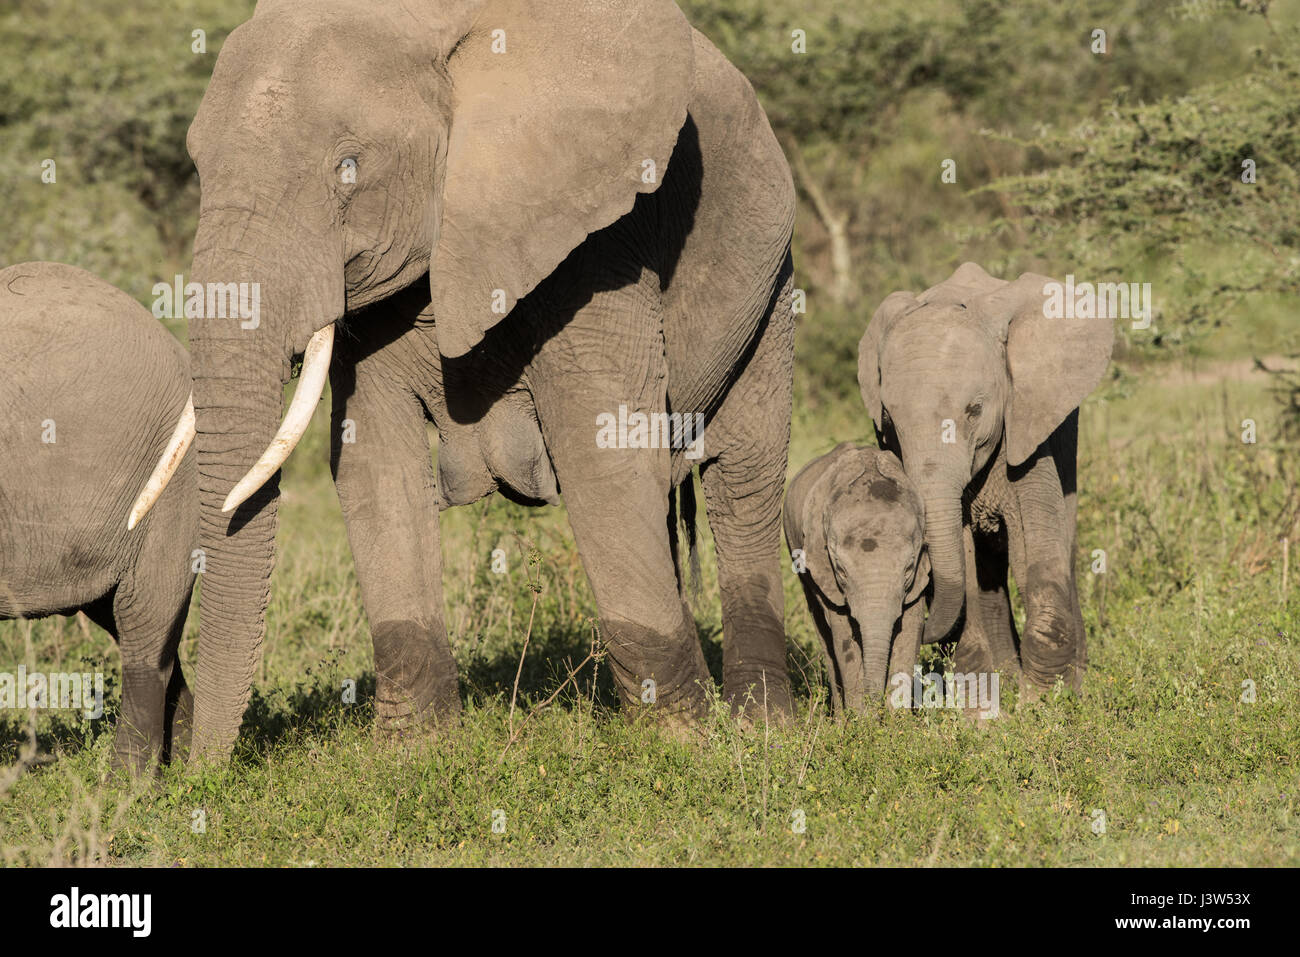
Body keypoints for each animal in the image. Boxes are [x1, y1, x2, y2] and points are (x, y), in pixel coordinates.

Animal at [131, 0, 798, 760]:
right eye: (198, 167)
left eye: (349, 168)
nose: (195, 770)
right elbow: (373, 465)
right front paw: (412, 753)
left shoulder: (596, 237)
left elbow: (603, 455)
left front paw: (681, 747)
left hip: (770, 277)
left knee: (743, 479)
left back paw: (762, 726)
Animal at [783, 443, 929, 714]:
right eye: (841, 571)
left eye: (908, 569)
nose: (875, 704)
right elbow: (843, 636)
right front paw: (862, 721)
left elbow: (911, 627)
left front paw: (897, 723)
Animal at [857, 262, 1113, 695]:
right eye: (889, 420)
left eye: (975, 410)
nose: (918, 624)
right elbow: (964, 566)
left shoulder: (1026, 426)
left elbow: (1034, 557)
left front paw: (1049, 697)